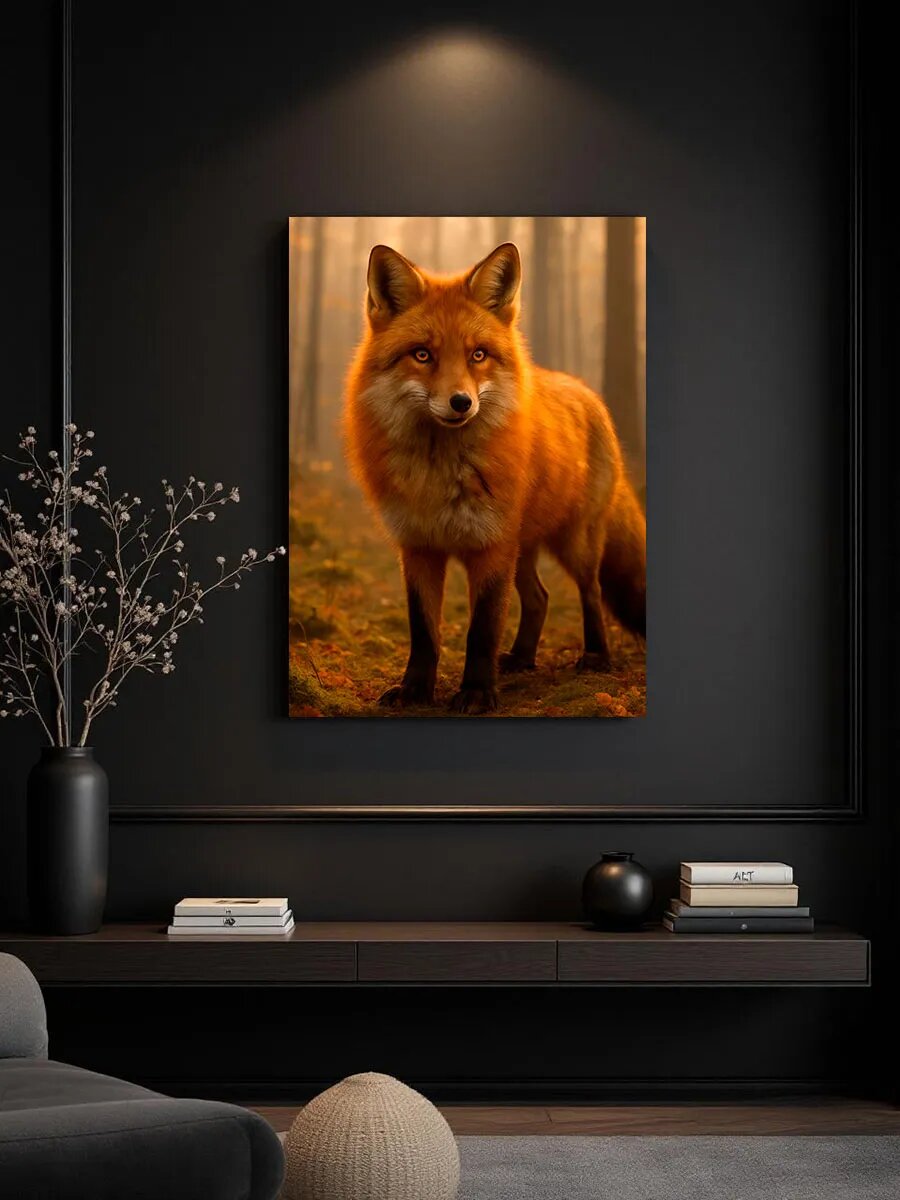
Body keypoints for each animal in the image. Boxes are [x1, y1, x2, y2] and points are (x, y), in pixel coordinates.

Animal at [343, 241, 646, 714]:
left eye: (478, 355)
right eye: (423, 354)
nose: (461, 402)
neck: (438, 474)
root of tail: (587, 392)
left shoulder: (490, 546)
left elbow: (481, 629)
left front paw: (476, 692)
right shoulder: (418, 547)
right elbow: (423, 630)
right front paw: (415, 690)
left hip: (572, 542)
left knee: (591, 591)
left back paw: (596, 656)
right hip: (521, 550)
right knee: (539, 598)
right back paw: (521, 658)